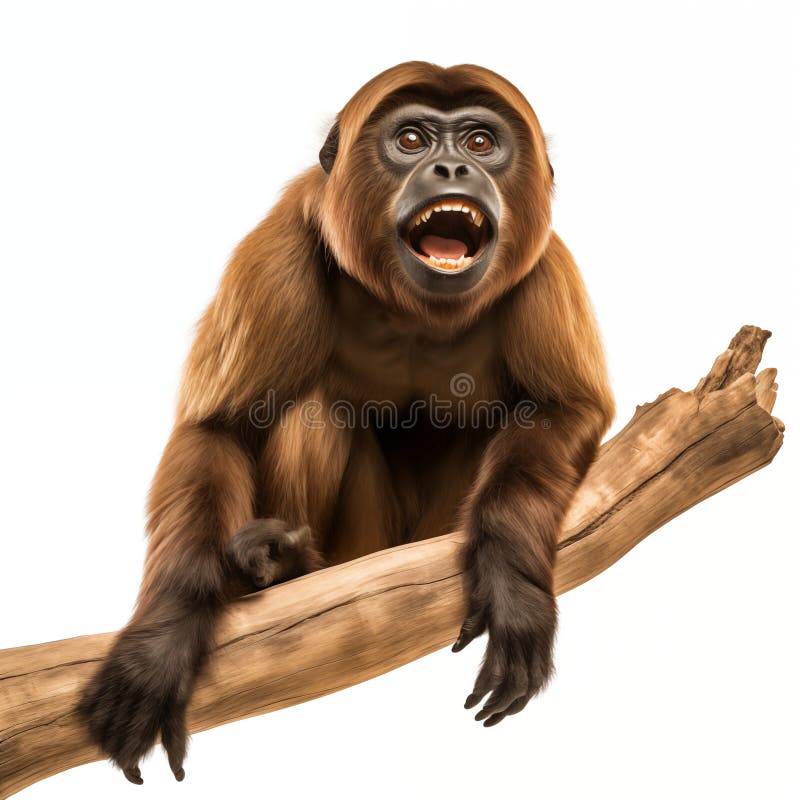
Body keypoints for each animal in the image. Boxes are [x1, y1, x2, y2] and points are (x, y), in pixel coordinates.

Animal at [77, 60, 614, 784]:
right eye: (412, 140)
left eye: (480, 142)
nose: (451, 168)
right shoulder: (279, 245)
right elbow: (217, 429)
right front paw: (163, 638)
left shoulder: (546, 263)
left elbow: (569, 408)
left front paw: (512, 580)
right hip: (361, 544)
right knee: (314, 413)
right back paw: (283, 567)